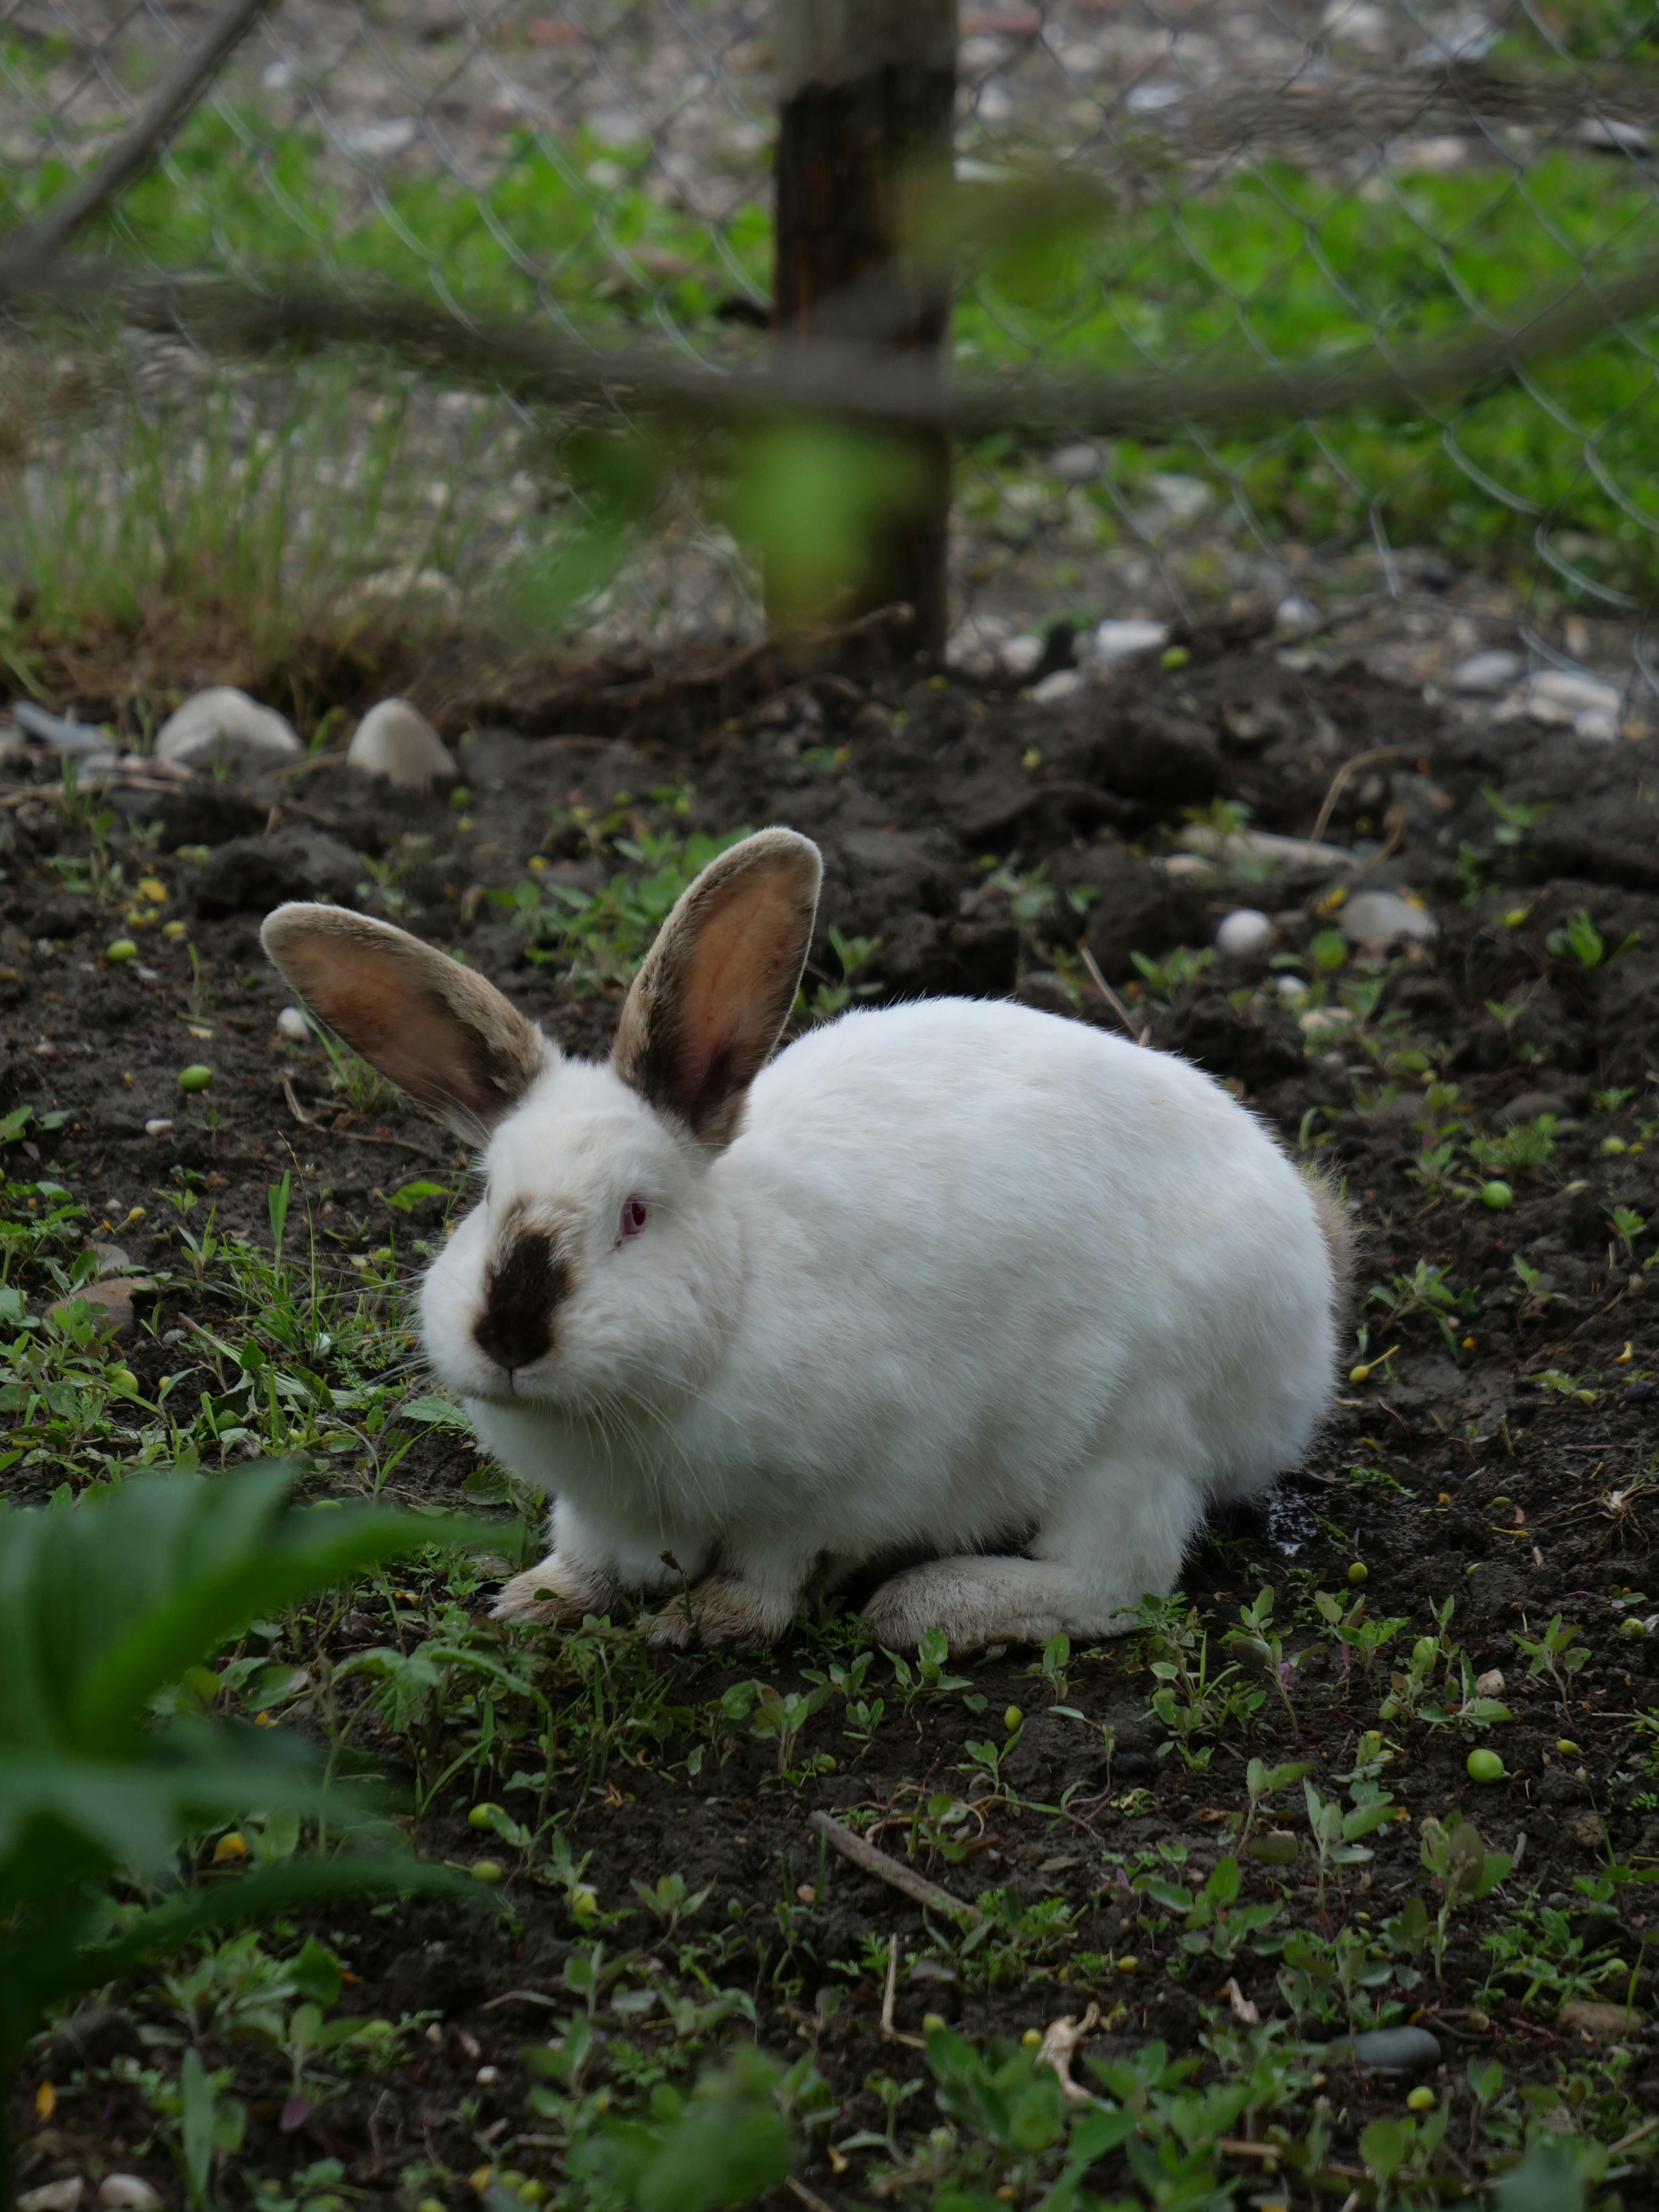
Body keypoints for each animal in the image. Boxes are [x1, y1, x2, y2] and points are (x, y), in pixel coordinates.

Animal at [262, 826, 1349, 1653]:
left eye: (636, 1213)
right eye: (486, 1196)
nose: (511, 1337)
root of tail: (1309, 1294)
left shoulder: (834, 1489)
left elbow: (773, 1570)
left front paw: (710, 1620)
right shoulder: (597, 1507)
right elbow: (590, 1553)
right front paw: (540, 1596)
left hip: (1138, 1426)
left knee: (1121, 1577)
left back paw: (931, 1606)